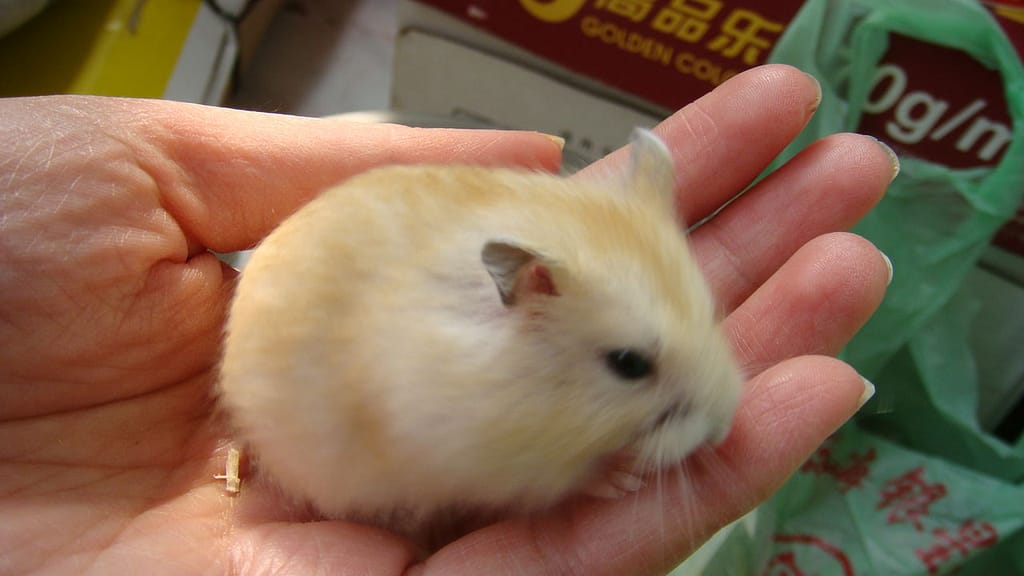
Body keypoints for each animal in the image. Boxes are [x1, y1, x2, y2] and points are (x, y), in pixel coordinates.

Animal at [217, 130, 743, 543]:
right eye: (628, 364)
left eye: (708, 312)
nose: (723, 432)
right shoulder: (490, 459)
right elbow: (567, 477)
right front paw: (620, 480)